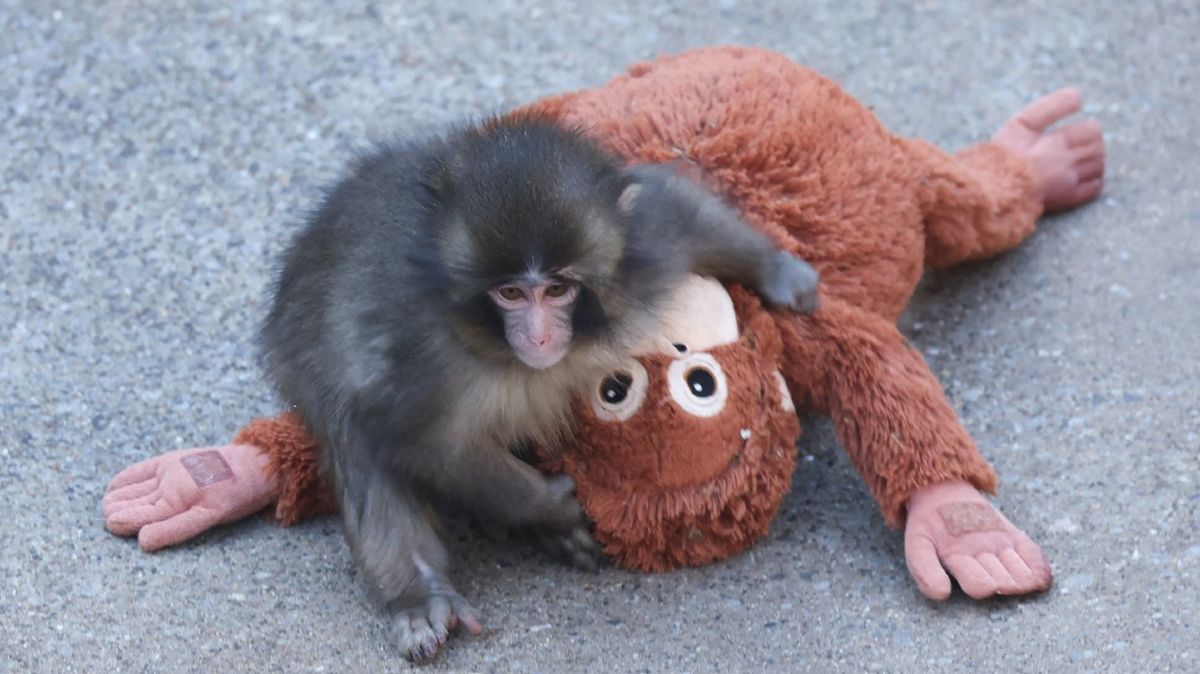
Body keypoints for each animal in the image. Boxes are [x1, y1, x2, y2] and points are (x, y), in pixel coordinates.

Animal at [257, 115, 819, 660]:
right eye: (509, 293)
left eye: (556, 288)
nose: (540, 335)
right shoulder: (416, 354)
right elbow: (421, 440)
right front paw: (548, 505)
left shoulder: (642, 253)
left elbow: (678, 210)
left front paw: (780, 272)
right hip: (301, 361)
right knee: (353, 434)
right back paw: (421, 592)